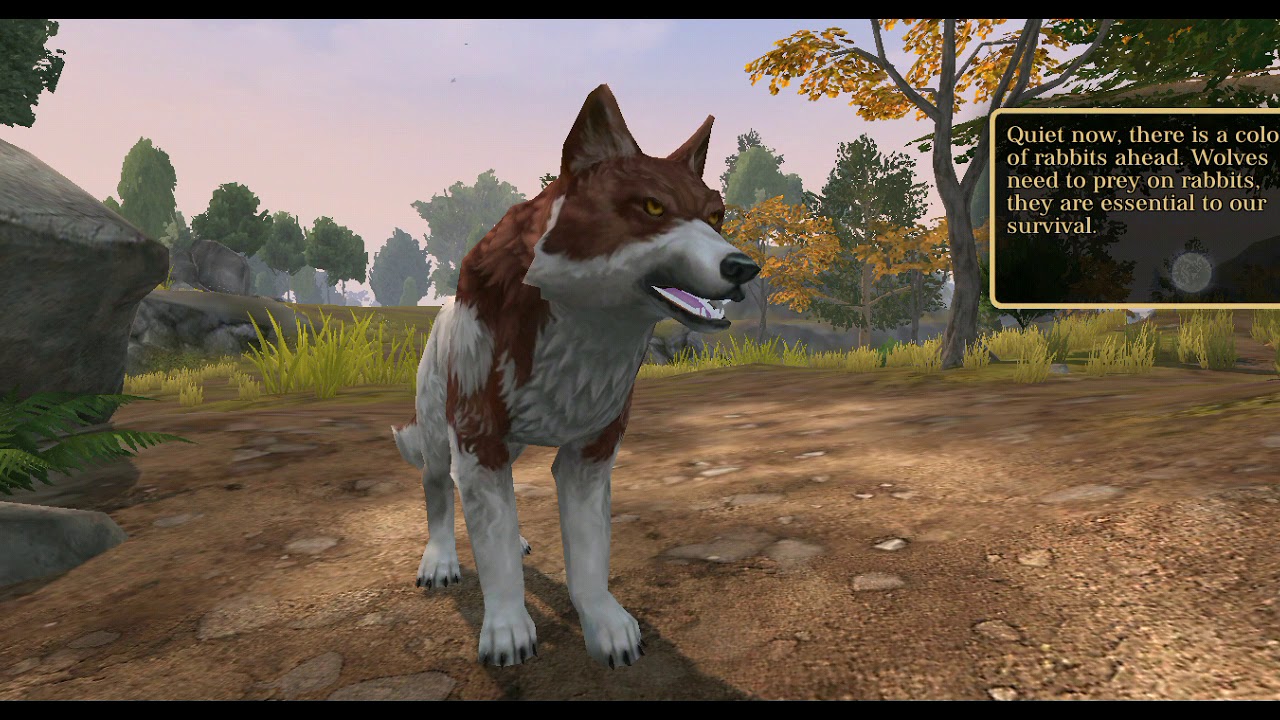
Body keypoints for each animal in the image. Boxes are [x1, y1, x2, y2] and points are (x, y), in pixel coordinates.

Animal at [392, 84, 759, 669]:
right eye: (652, 207)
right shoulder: (477, 439)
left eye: (716, 216)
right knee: (438, 488)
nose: (744, 268)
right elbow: (494, 554)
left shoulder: (590, 453)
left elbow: (586, 557)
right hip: (437, 435)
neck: (582, 328)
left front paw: (604, 625)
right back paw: (441, 559)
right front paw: (507, 629)